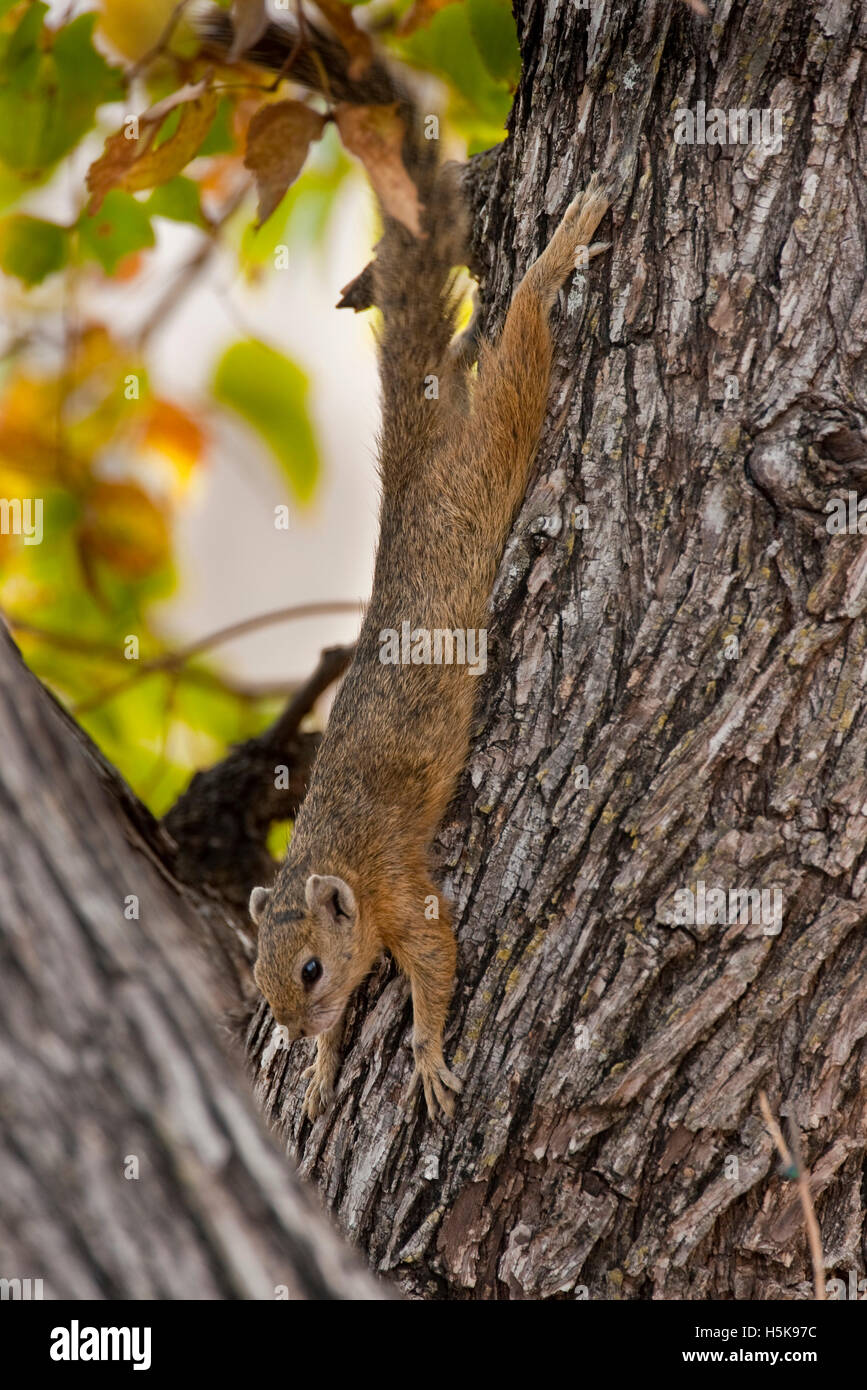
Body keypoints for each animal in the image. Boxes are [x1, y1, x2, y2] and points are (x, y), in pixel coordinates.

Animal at [208, 11, 612, 1121]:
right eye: (260, 972)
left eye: (309, 967)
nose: (294, 1023)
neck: (329, 853)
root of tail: (415, 472)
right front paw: (321, 1068)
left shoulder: (399, 886)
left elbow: (436, 958)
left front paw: (425, 1057)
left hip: (495, 447)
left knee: (519, 354)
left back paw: (558, 254)